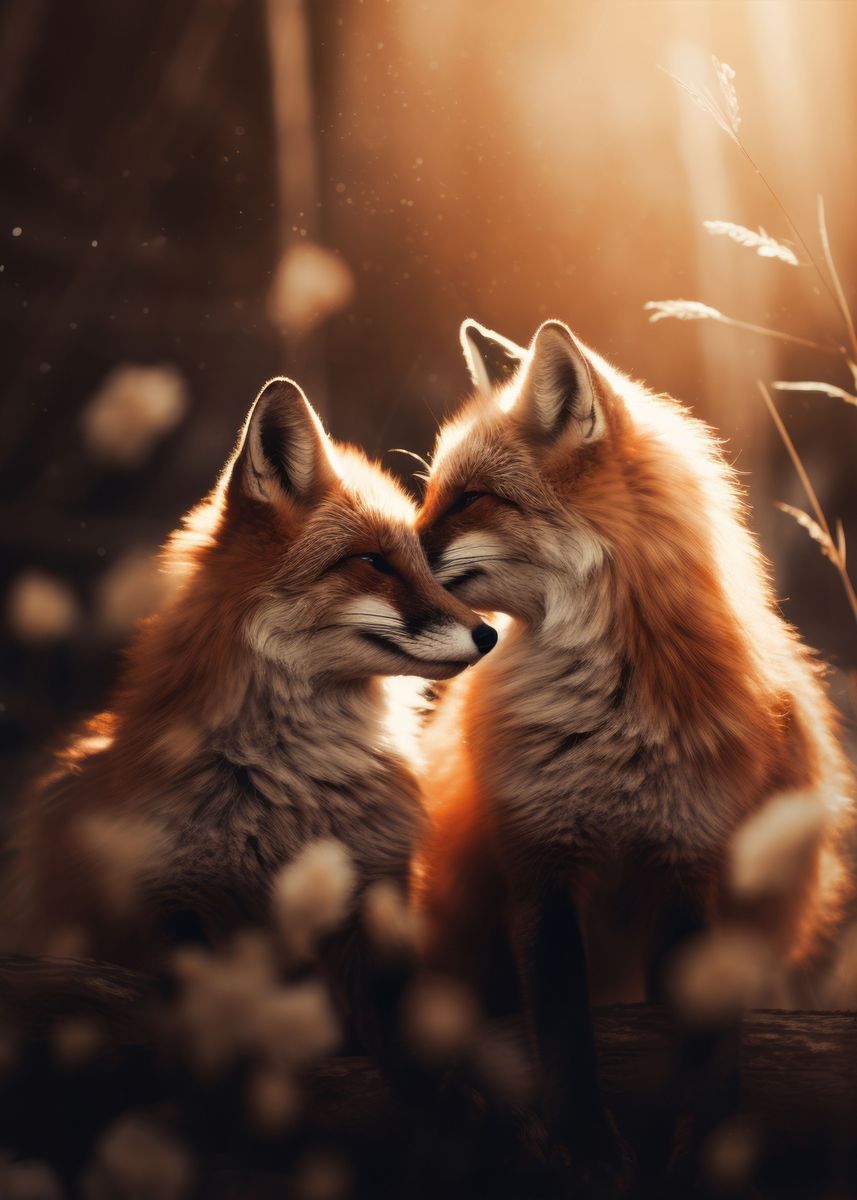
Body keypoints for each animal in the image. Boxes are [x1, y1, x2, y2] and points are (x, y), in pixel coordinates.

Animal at [6, 375, 496, 1038]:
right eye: (372, 561)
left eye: (425, 561)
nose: (488, 634)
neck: (286, 787)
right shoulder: (171, 912)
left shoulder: (374, 900)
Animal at [415, 318, 855, 1186]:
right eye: (429, 491)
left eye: (470, 496)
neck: (610, 720)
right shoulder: (539, 864)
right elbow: (562, 1034)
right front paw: (584, 1145)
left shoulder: (691, 863)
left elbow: (699, 1044)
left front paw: (696, 1146)